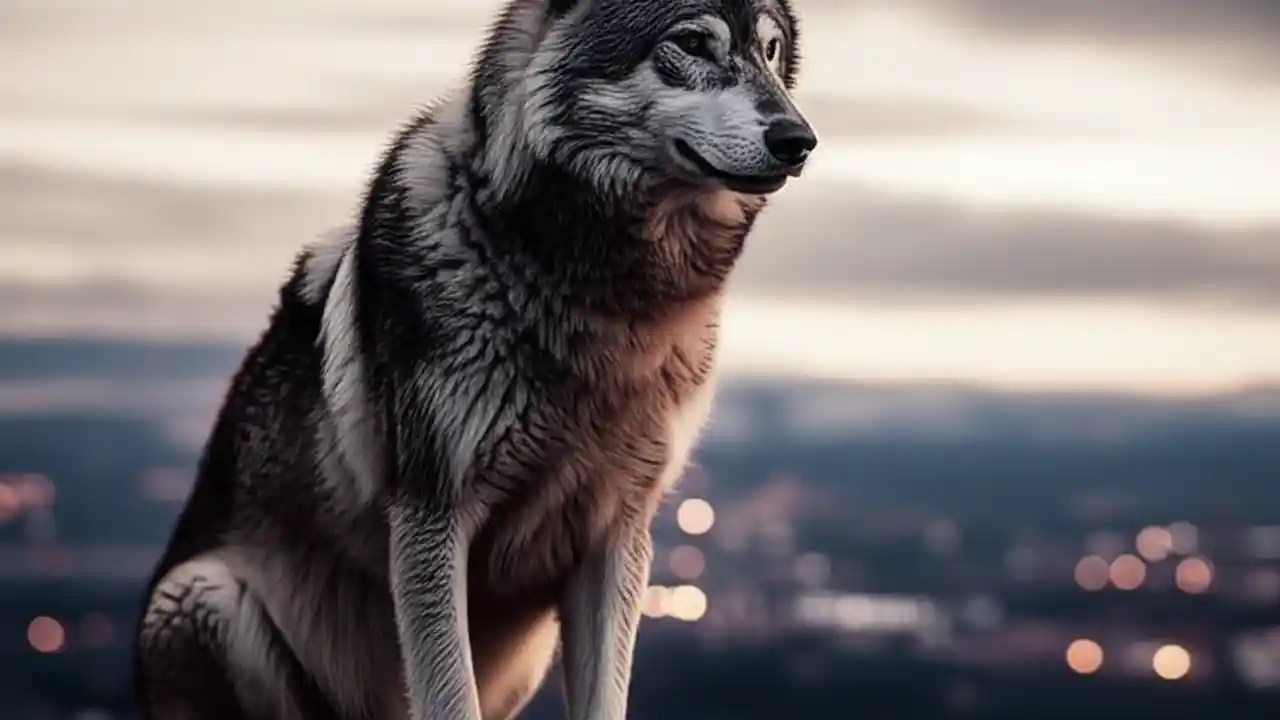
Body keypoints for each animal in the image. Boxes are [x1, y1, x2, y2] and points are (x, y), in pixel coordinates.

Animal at [132, 0, 815, 718]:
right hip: (198, 598)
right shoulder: (432, 515)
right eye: (691, 43)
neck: (598, 302)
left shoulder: (618, 533)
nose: (799, 139)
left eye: (771, 50)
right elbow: (448, 692)